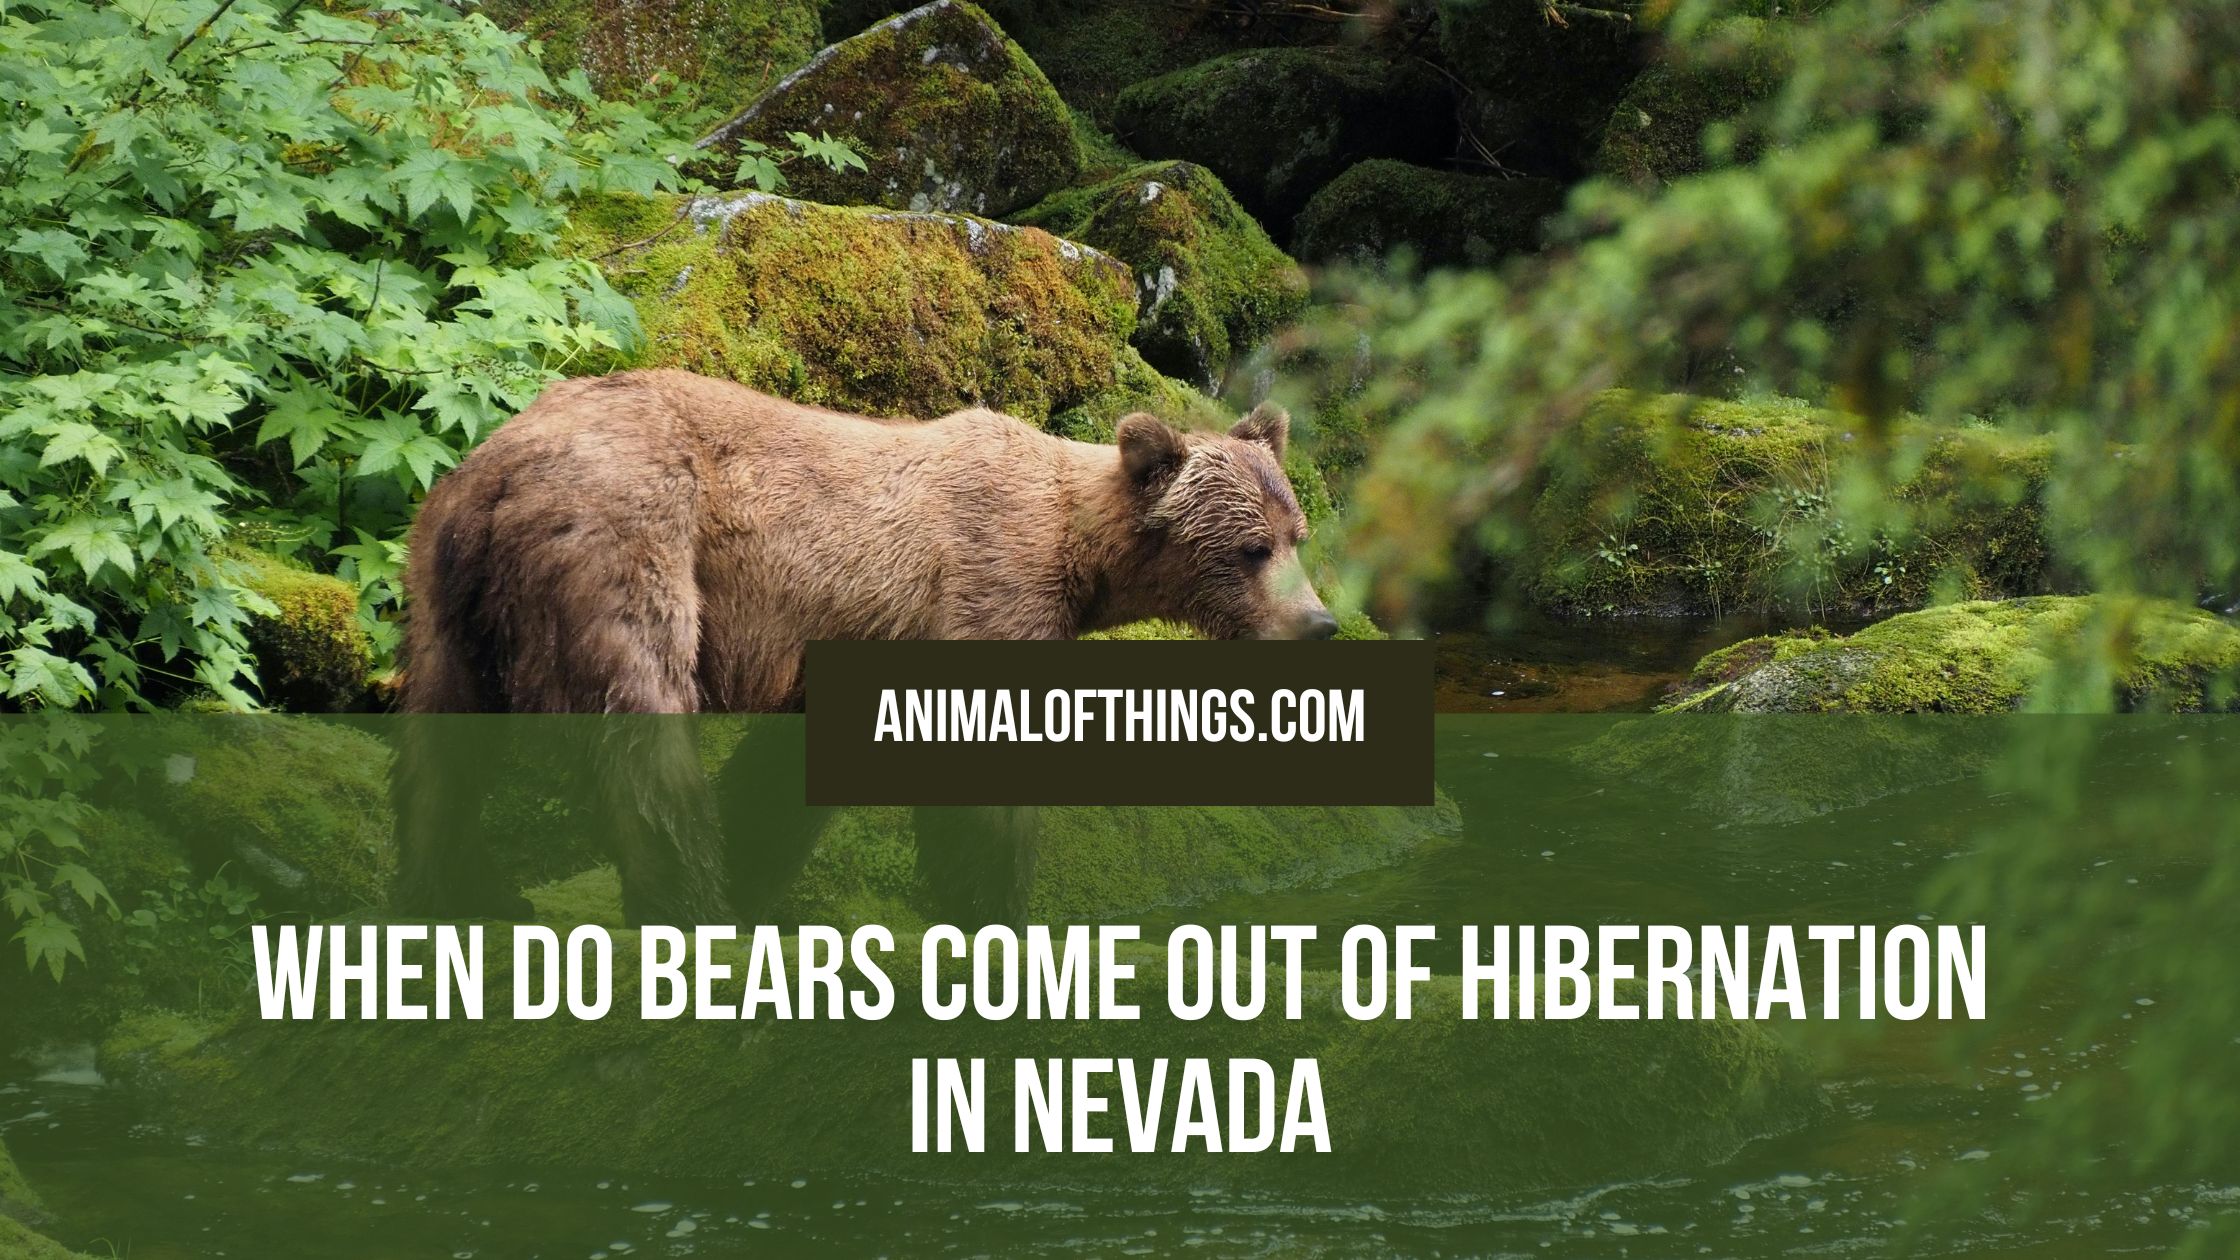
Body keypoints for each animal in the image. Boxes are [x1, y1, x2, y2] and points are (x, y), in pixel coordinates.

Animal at [392, 368, 1335, 927]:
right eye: (1252, 549)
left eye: (1298, 534)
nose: (1319, 624)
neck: (1081, 555)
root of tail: (498, 469)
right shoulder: (987, 586)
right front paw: (992, 908)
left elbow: (785, 781)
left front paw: (758, 868)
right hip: (629, 537)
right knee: (644, 731)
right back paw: (685, 901)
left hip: (446, 587)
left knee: (441, 751)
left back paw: (459, 894)